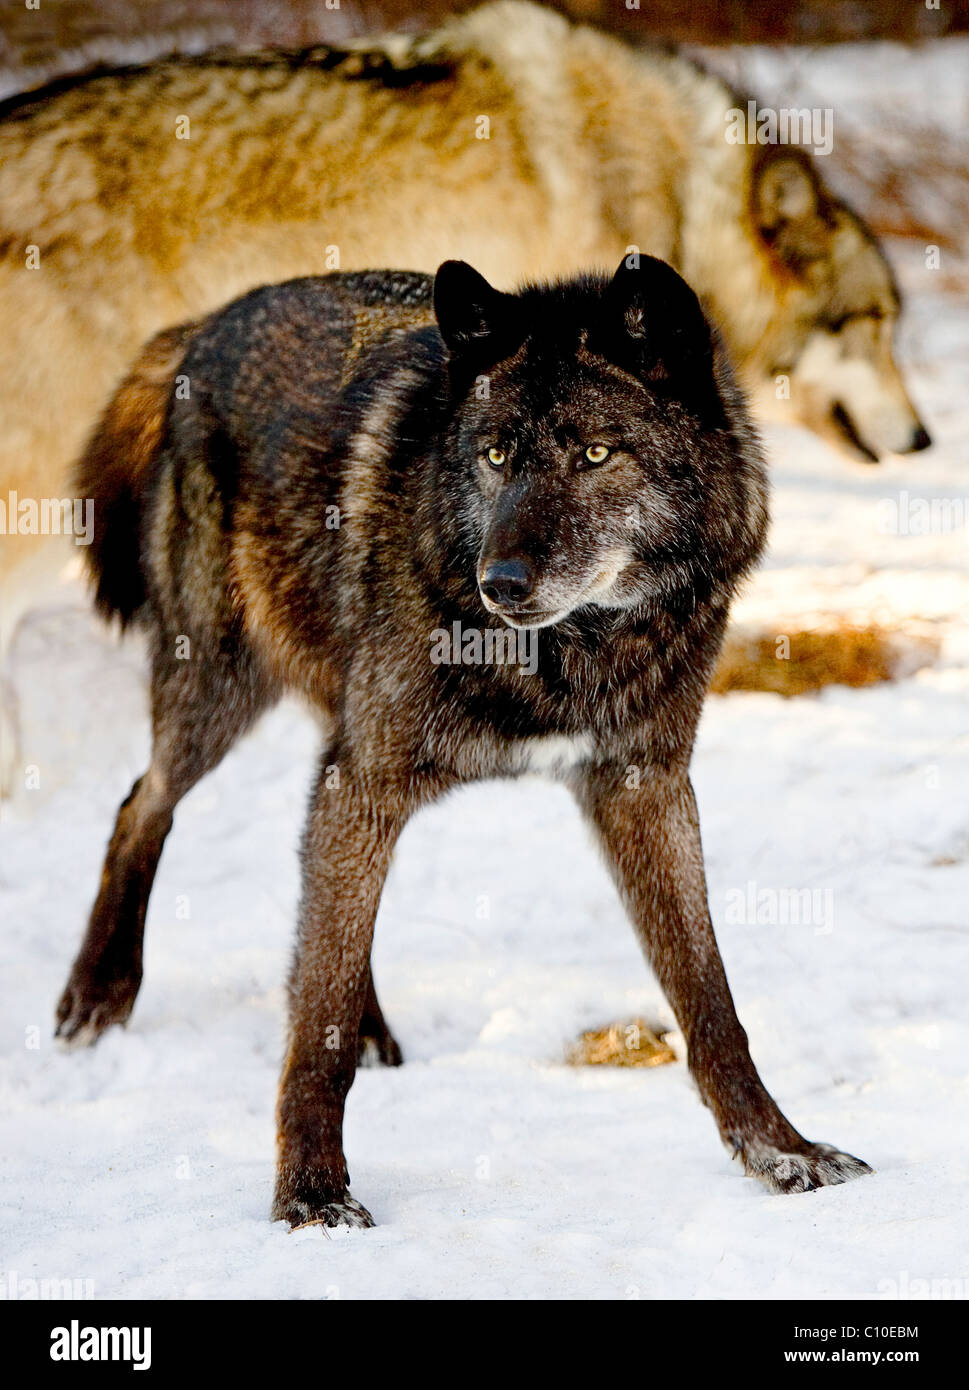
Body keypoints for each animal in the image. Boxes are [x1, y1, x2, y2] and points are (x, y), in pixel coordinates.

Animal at [55, 253, 872, 1227]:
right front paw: (311, 1195)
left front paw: (780, 1152)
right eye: (495, 454)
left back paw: (364, 1023)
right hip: (217, 692)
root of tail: (205, 323)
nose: (500, 581)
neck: (568, 650)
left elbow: (708, 999)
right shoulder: (371, 781)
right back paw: (96, 997)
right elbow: (316, 1031)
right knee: (140, 807)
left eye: (595, 453)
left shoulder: (644, 784)